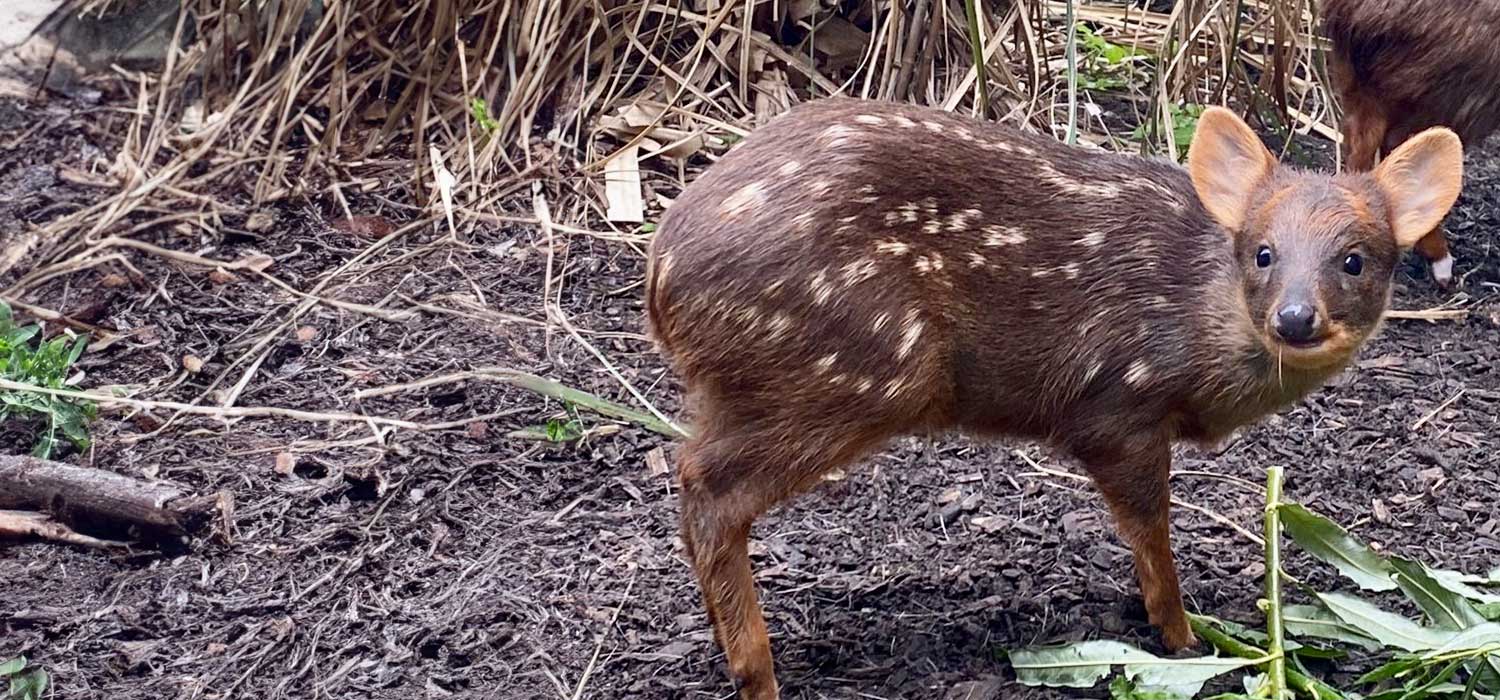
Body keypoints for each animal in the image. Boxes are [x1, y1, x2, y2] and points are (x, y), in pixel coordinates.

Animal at [644, 97, 1462, 700]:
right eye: (1262, 252)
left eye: (1355, 260)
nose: (1295, 319)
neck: (1199, 318)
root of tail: (661, 278)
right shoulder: (1117, 407)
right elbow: (1150, 529)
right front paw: (1182, 635)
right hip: (856, 370)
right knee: (705, 484)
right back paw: (757, 672)